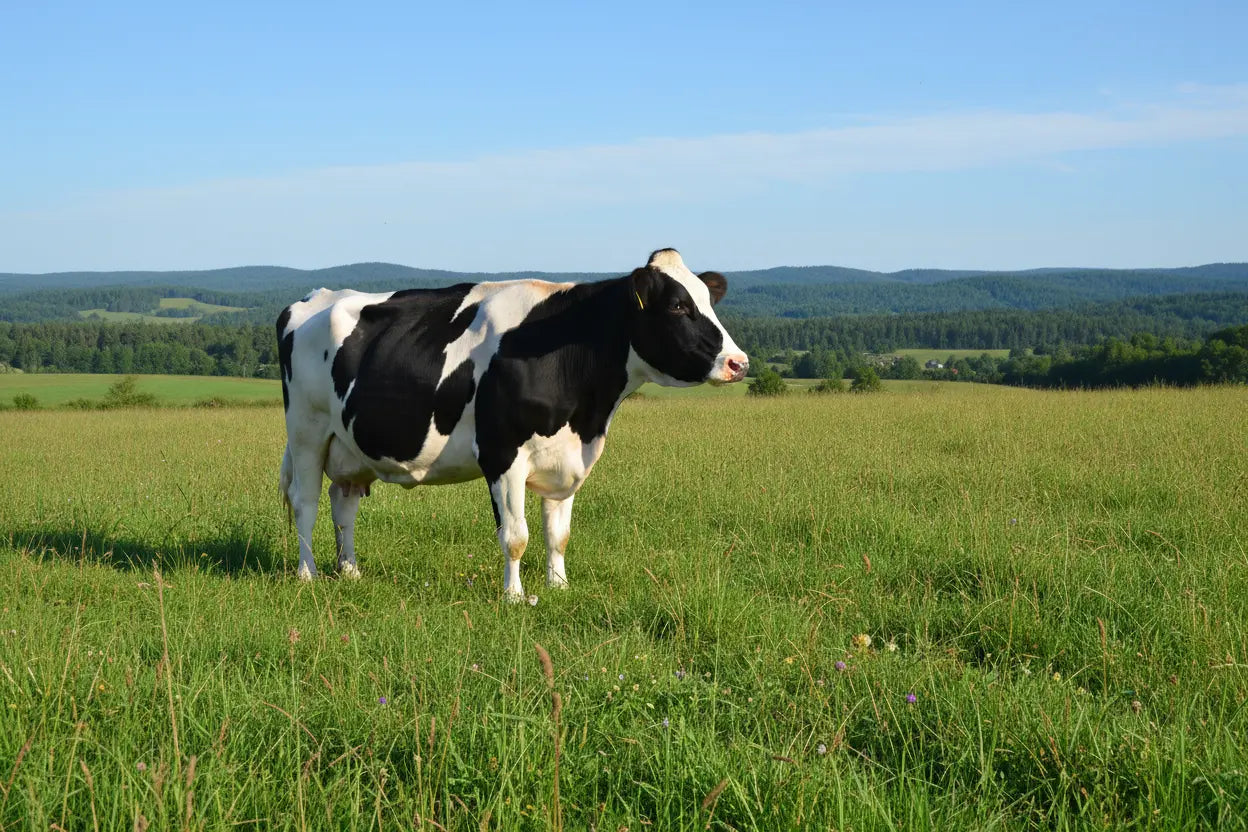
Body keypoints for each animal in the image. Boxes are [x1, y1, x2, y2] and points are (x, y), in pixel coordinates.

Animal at [277, 248, 748, 601]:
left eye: (708, 301)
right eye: (678, 305)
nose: (738, 363)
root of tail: (311, 299)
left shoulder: (567, 458)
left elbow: (558, 534)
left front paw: (559, 587)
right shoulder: (502, 454)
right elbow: (516, 535)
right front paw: (515, 596)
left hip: (349, 444)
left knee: (343, 503)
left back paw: (350, 571)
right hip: (306, 430)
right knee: (305, 501)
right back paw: (308, 574)